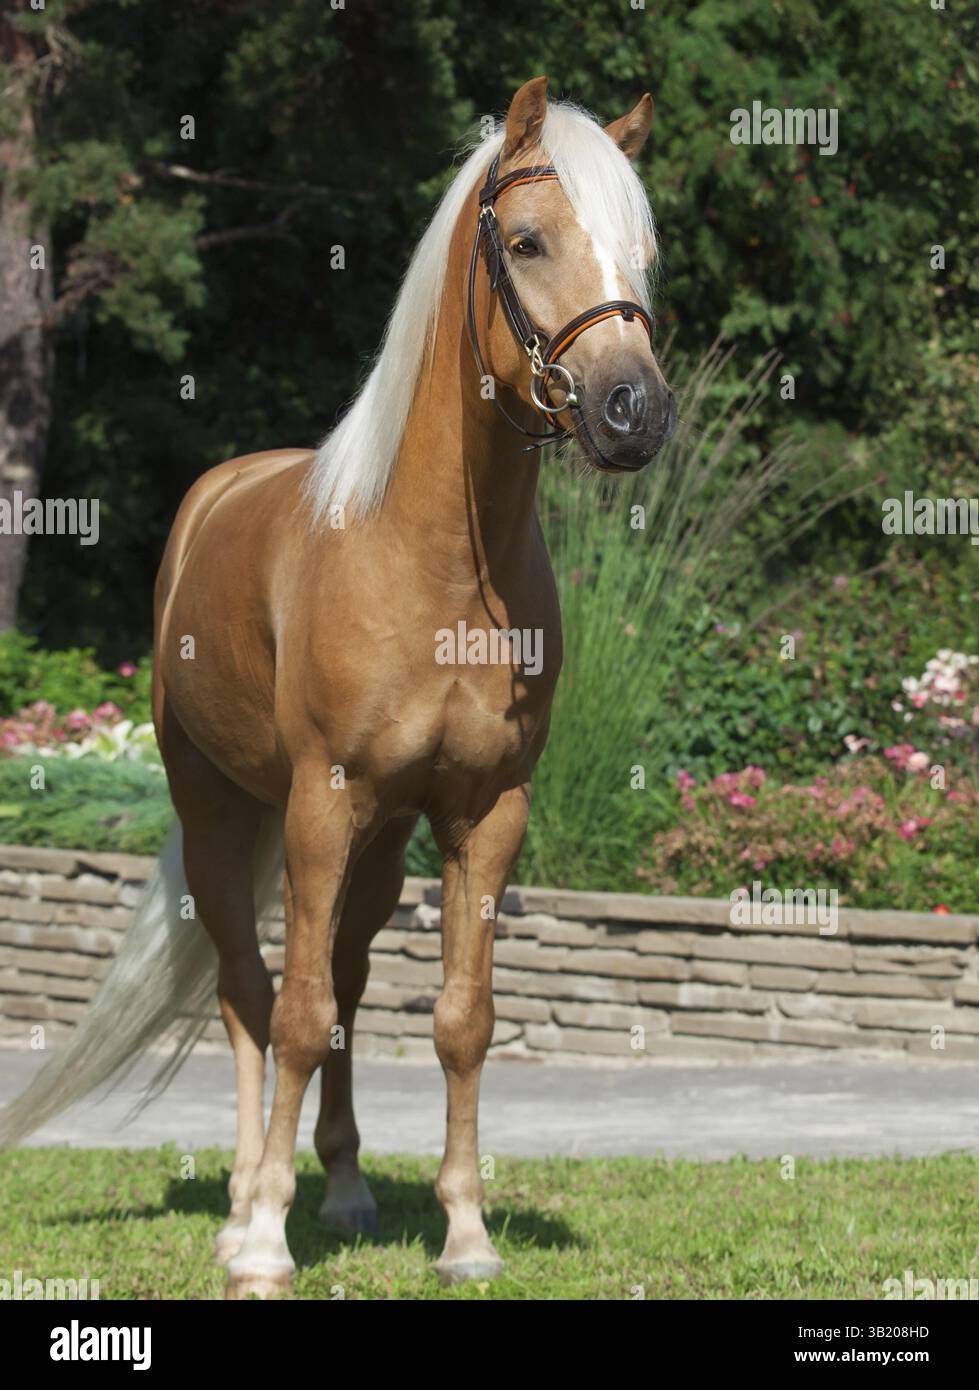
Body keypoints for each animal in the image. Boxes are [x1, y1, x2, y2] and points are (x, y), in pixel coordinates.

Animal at [0, 76, 674, 1297]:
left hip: (379, 841)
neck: (436, 562)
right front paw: (265, 1239)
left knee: (349, 985)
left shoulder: (483, 814)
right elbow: (299, 1016)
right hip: (224, 820)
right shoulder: (322, 800)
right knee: (252, 995)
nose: (630, 411)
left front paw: (465, 1234)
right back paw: (238, 1204)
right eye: (525, 240)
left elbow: (459, 1017)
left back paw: (347, 1188)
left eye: (642, 256)